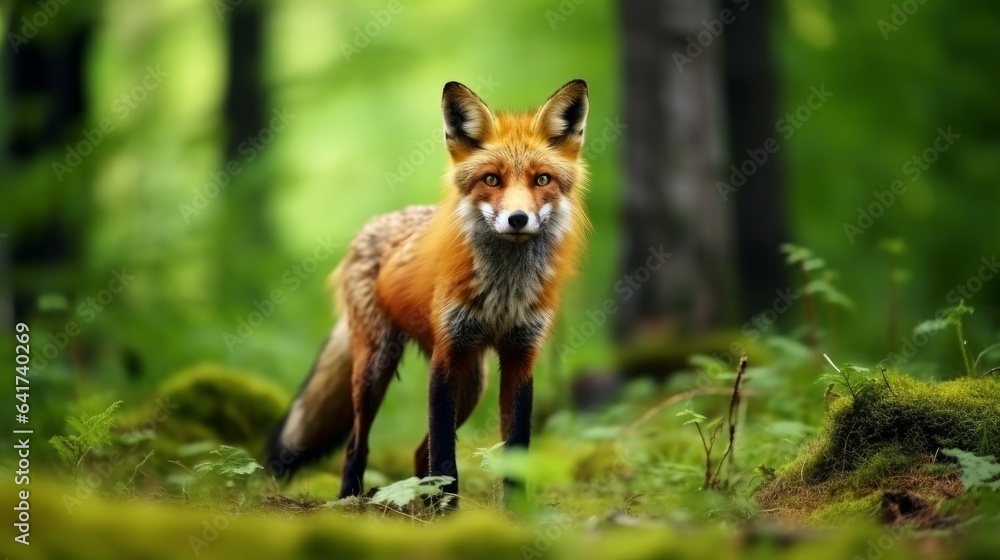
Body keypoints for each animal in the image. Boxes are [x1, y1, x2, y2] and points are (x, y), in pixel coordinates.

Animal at [267, 79, 590, 506]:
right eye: (491, 180)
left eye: (542, 180)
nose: (517, 219)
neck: (503, 293)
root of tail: (374, 222)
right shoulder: (446, 356)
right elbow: (445, 456)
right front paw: (449, 513)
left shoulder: (521, 355)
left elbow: (515, 449)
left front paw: (516, 513)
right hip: (376, 366)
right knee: (358, 444)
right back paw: (352, 500)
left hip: (472, 382)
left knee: (420, 453)